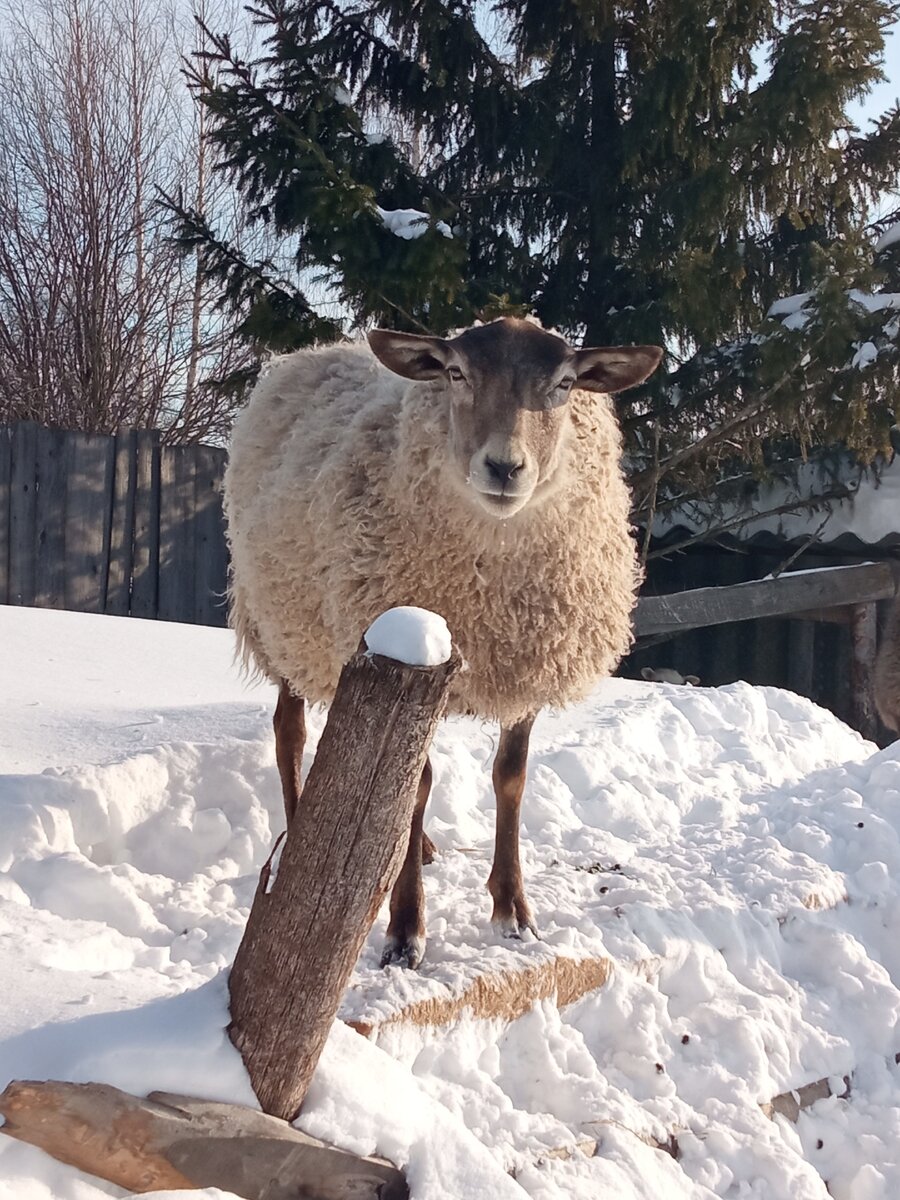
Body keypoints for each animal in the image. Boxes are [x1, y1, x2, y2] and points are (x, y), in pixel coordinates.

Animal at [224, 316, 662, 964]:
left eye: (564, 383)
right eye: (457, 373)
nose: (504, 467)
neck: (489, 588)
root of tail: (309, 354)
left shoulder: (527, 665)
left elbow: (510, 777)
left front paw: (514, 911)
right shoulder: (416, 657)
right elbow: (417, 786)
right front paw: (407, 927)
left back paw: (423, 845)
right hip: (282, 619)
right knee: (289, 731)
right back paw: (304, 829)